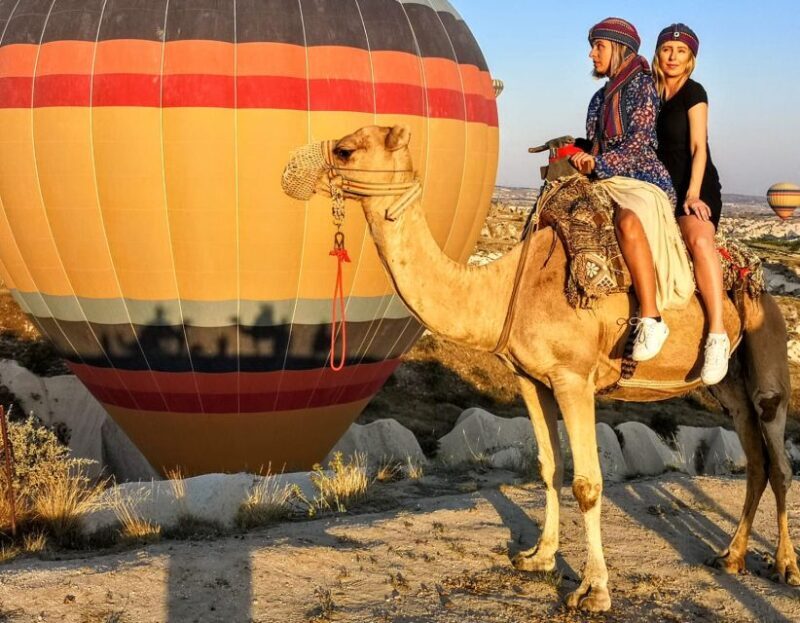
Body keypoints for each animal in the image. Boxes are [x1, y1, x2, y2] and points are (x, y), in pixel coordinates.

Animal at [281, 125, 799, 612]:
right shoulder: (531, 379)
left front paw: (593, 591)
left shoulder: (574, 379)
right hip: (728, 383)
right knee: (754, 455)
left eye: (346, 149)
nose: (292, 170)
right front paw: (539, 557)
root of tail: (760, 281)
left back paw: (784, 566)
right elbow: (550, 467)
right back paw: (731, 556)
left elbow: (588, 483)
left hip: (768, 352)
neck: (507, 286)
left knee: (778, 457)